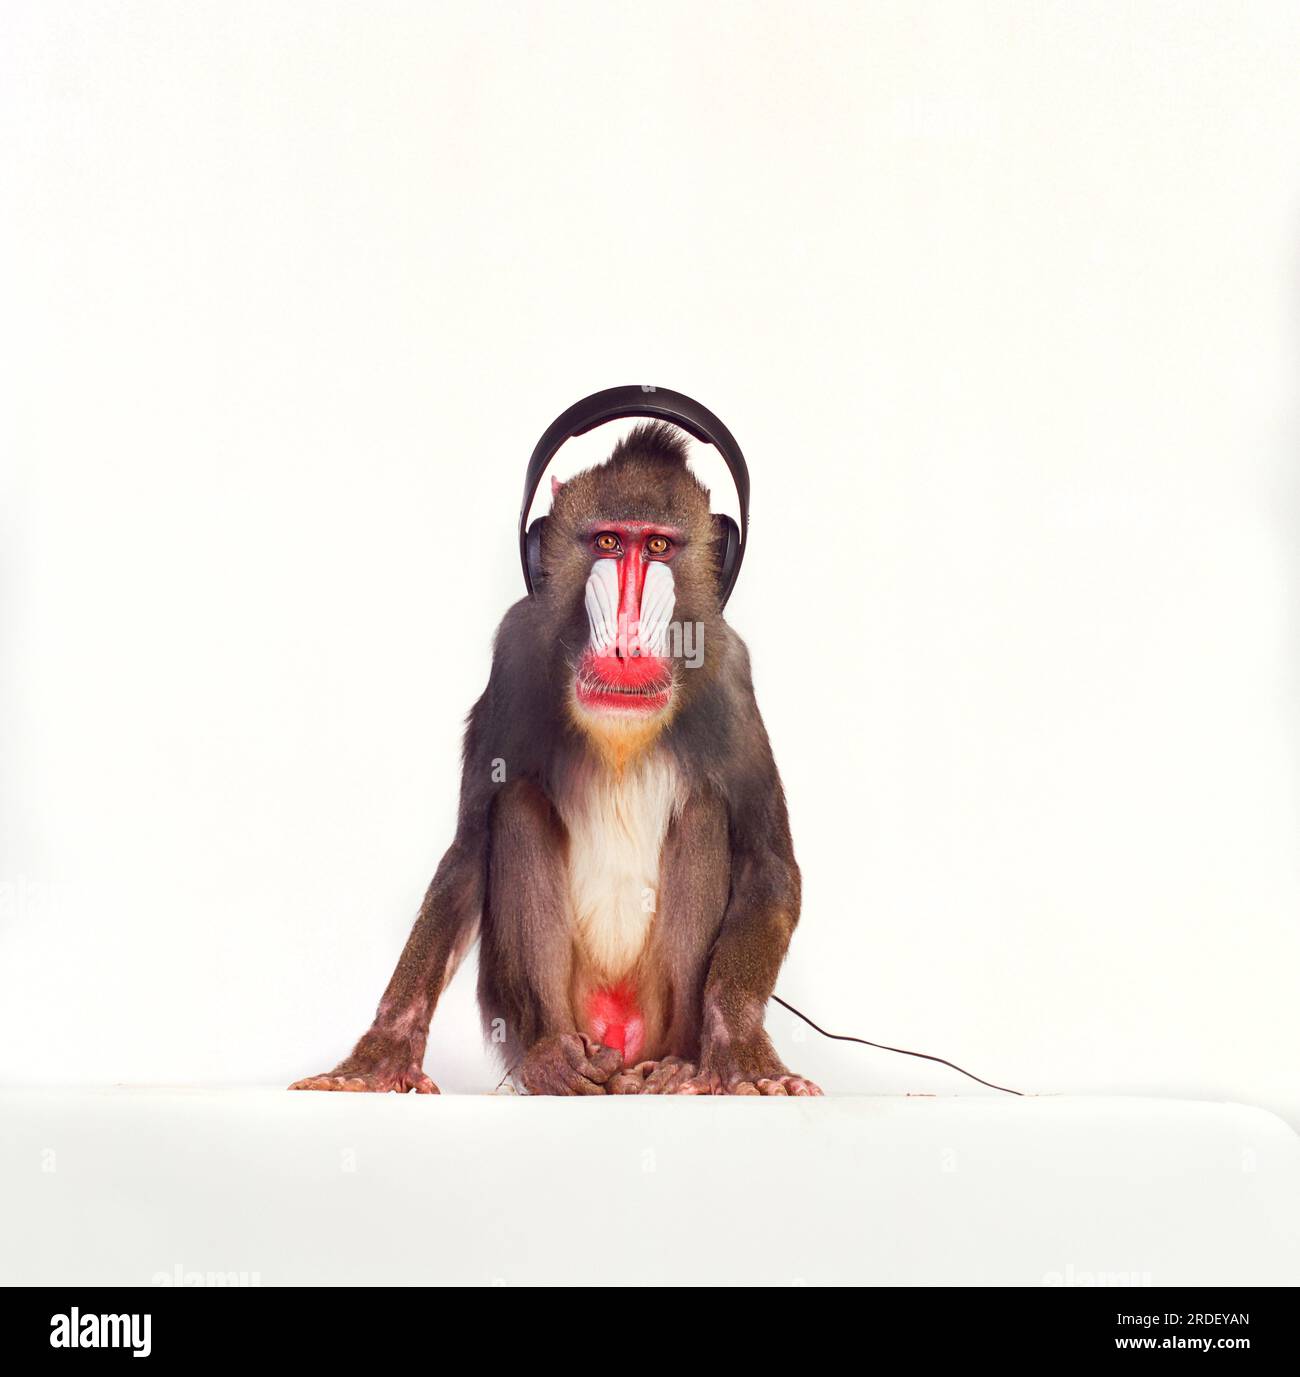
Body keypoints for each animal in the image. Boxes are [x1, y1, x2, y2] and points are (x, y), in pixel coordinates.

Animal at [290, 419, 820, 1096]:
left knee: (704, 811)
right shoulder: (514, 652)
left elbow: (768, 865)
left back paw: (678, 1066)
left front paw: (750, 1058)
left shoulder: (731, 673)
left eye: (657, 547)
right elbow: (468, 855)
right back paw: (553, 1060)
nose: (625, 644)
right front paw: (378, 1056)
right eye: (607, 542)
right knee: (515, 808)